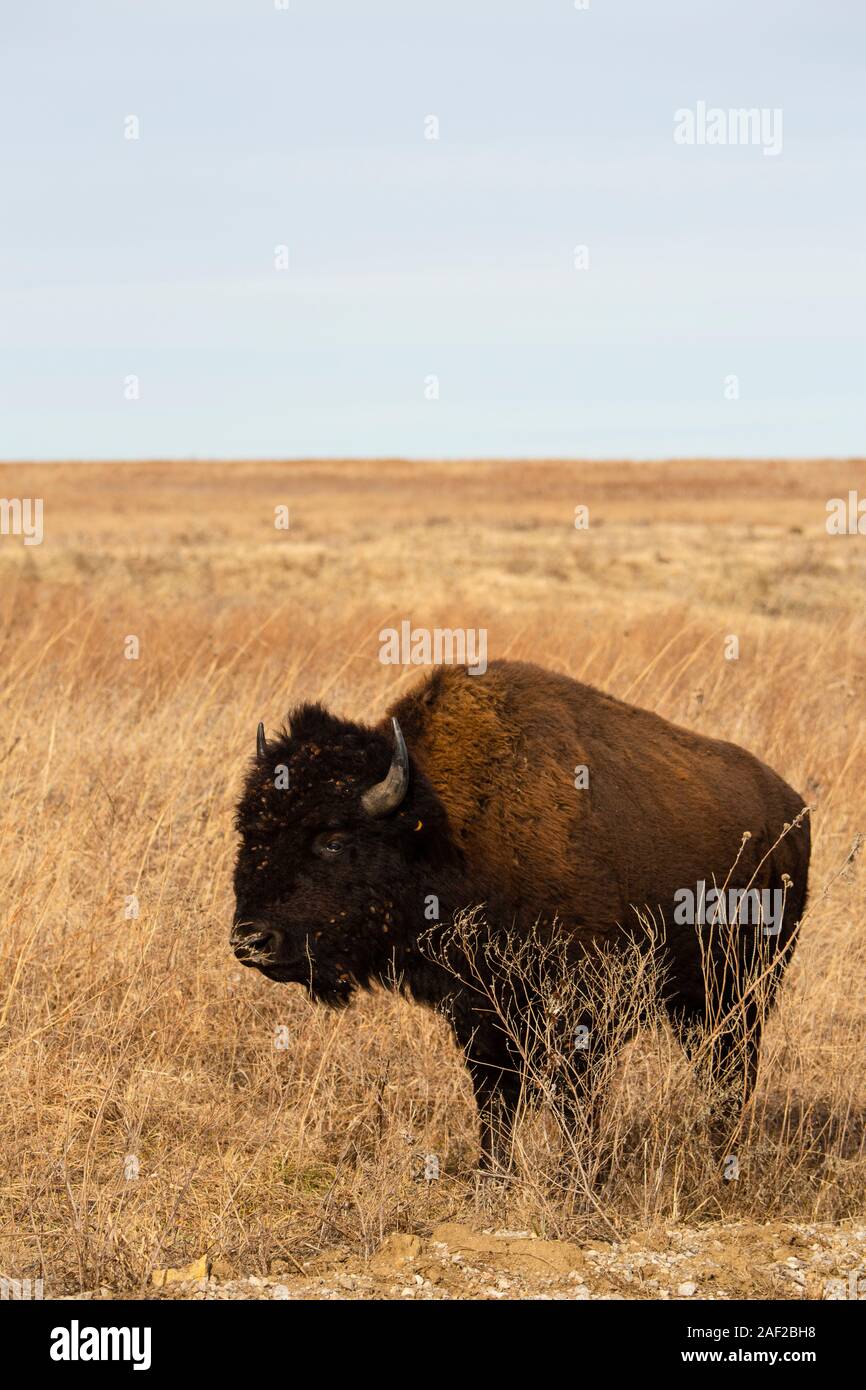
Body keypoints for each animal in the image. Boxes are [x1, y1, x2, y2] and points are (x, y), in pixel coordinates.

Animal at [231, 660, 810, 1168]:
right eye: (248, 833)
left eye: (332, 839)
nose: (252, 941)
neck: (441, 826)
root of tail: (791, 810)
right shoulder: (479, 1011)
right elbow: (495, 1098)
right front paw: (491, 1178)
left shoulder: (579, 1012)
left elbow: (573, 1100)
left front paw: (575, 1180)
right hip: (699, 1005)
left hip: (746, 991)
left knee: (733, 1072)